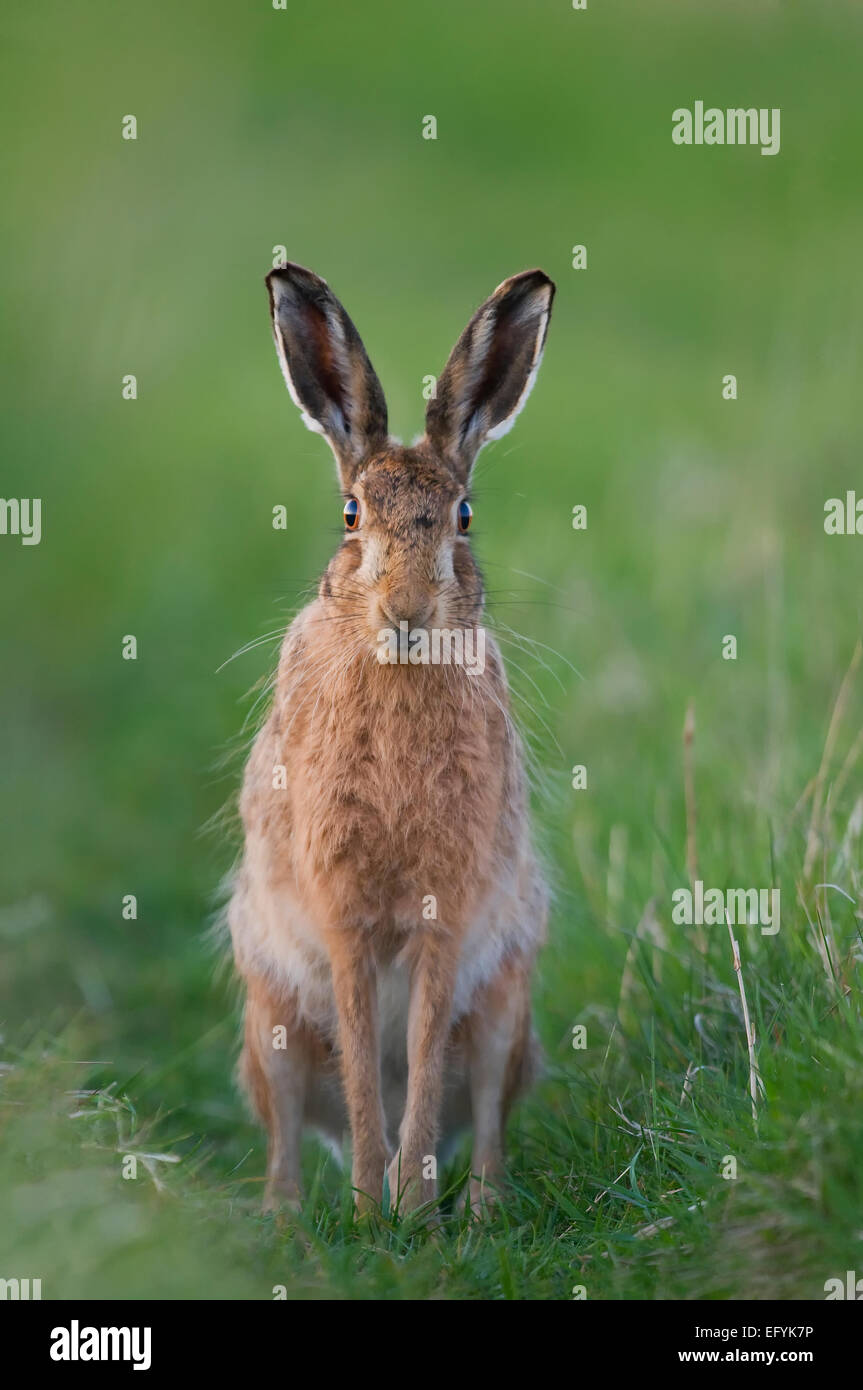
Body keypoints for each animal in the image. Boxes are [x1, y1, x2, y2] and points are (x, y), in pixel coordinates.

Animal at [228, 261, 555, 1215]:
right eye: (349, 515)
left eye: (464, 516)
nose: (405, 612)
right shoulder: (339, 908)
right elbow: (365, 1047)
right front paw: (376, 1206)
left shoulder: (449, 905)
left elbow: (419, 1044)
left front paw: (407, 1206)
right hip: (268, 1020)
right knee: (286, 1129)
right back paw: (292, 1220)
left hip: (508, 1007)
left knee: (480, 1110)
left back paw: (475, 1209)